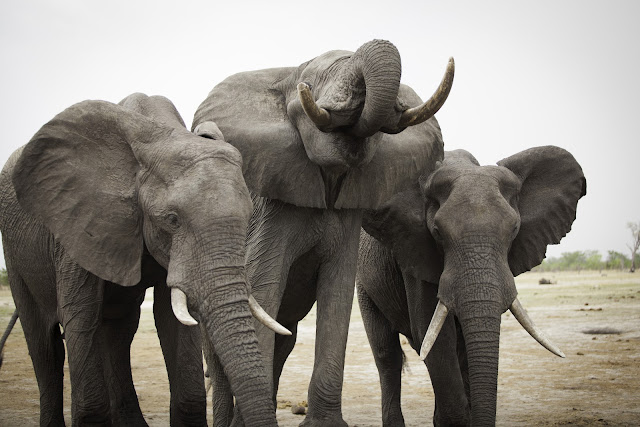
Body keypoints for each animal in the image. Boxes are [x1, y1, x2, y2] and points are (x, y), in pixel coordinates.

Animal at [0, 93, 287, 426]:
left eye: (248, 216)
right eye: (172, 219)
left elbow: (175, 322)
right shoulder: (77, 225)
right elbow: (80, 316)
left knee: (117, 335)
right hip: (15, 251)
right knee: (44, 344)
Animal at [192, 39, 454, 426]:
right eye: (310, 84)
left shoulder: (348, 212)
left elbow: (338, 289)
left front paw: (324, 423)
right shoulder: (271, 208)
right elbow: (264, 286)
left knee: (283, 342)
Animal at [357, 147, 587, 426]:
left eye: (515, 230)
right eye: (437, 232)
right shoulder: (414, 250)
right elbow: (432, 334)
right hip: (364, 282)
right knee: (386, 354)